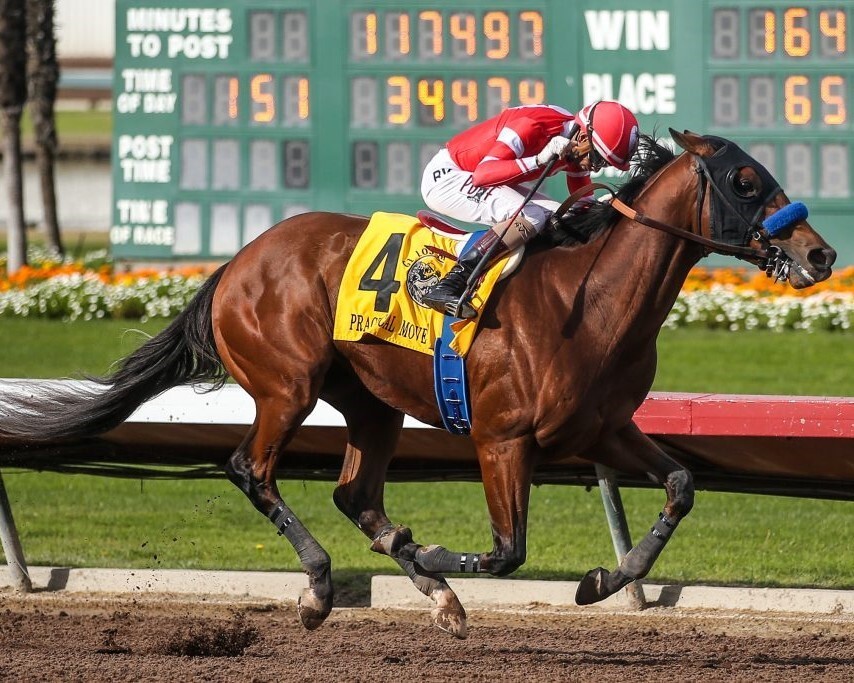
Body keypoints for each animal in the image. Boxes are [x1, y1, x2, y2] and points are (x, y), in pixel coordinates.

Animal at [0, 130, 836, 639]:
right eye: (745, 179)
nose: (820, 253)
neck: (590, 297)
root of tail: (235, 263)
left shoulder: (603, 428)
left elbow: (681, 483)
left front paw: (605, 577)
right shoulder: (503, 438)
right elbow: (506, 550)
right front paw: (436, 551)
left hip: (371, 405)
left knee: (356, 495)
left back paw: (432, 591)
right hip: (287, 384)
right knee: (251, 467)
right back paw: (321, 586)